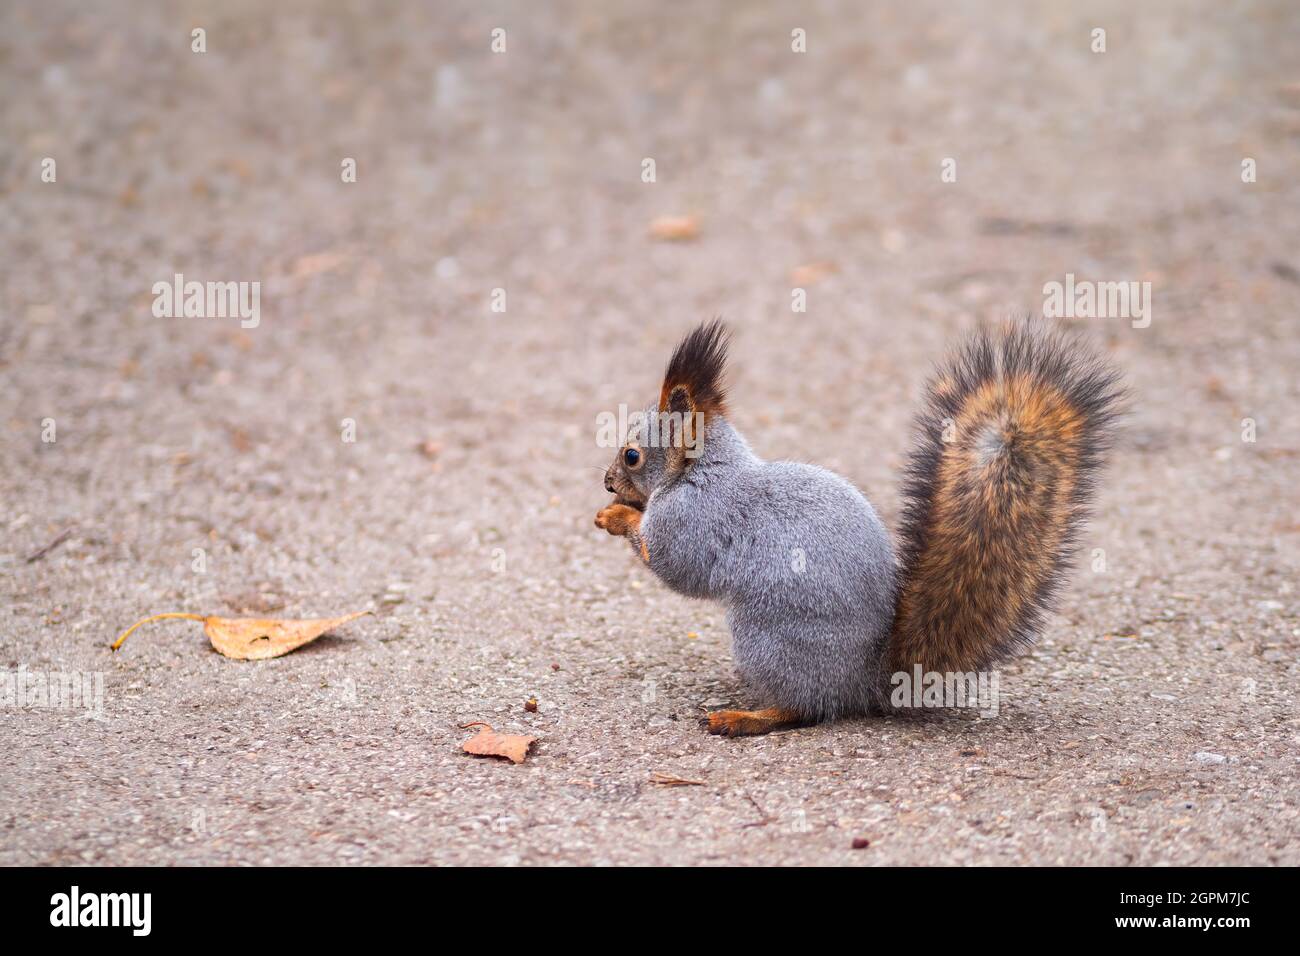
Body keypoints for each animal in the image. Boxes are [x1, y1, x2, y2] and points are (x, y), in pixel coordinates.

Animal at [595, 319, 1124, 736]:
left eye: (632, 455)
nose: (607, 483)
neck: (706, 469)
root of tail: (869, 678)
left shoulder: (695, 519)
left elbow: (673, 565)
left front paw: (618, 517)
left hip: (765, 637)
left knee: (806, 709)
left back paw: (746, 717)